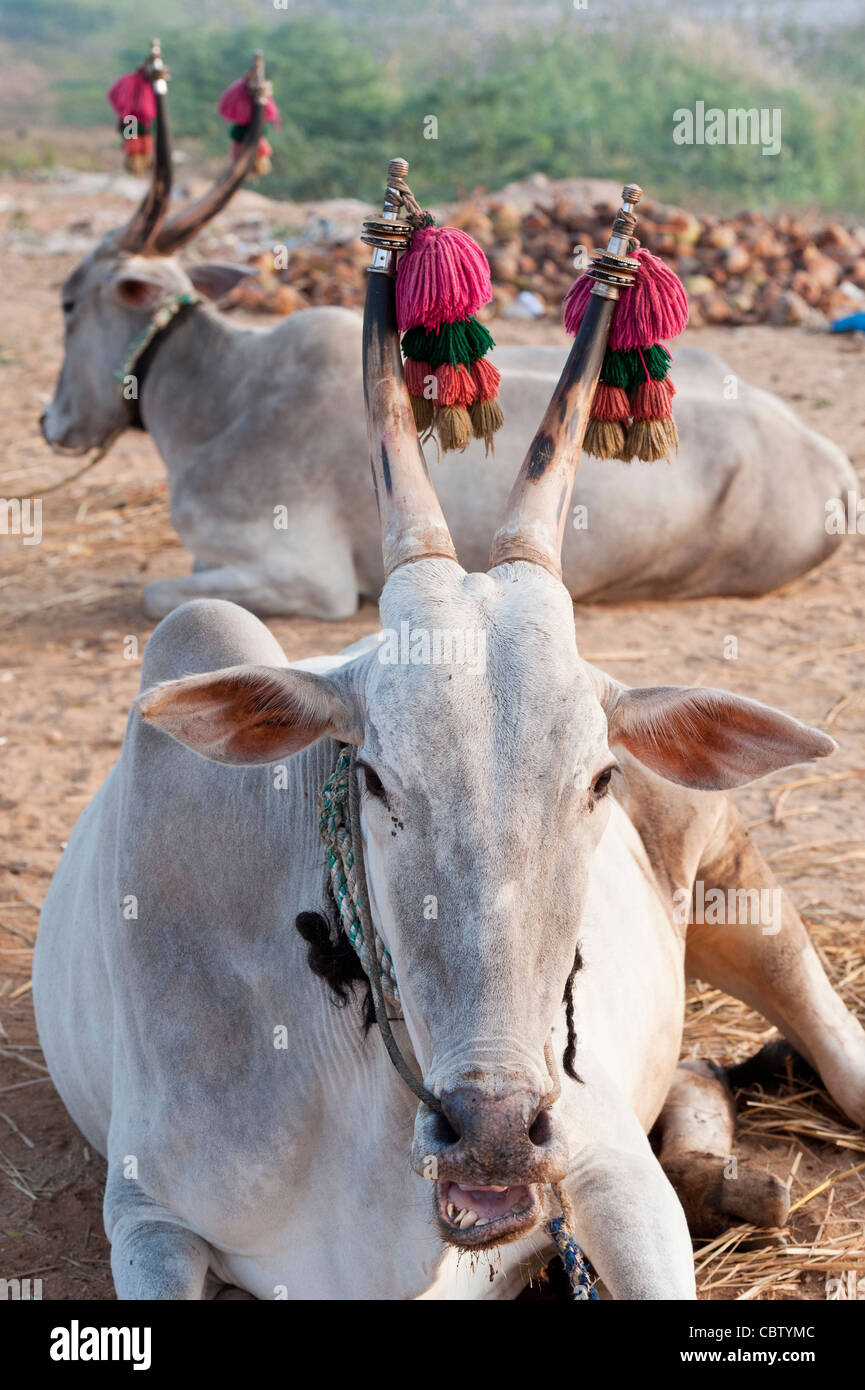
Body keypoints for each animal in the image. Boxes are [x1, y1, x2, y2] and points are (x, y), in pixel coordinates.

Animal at [33, 179, 865, 1300]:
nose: (493, 1128)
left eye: (599, 778)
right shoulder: (147, 1218)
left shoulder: (606, 1163)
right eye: (376, 778)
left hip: (740, 888)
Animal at [41, 86, 854, 621]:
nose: (52, 423)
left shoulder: (304, 577)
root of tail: (835, 464)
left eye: (69, 302)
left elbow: (156, 594)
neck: (225, 393)